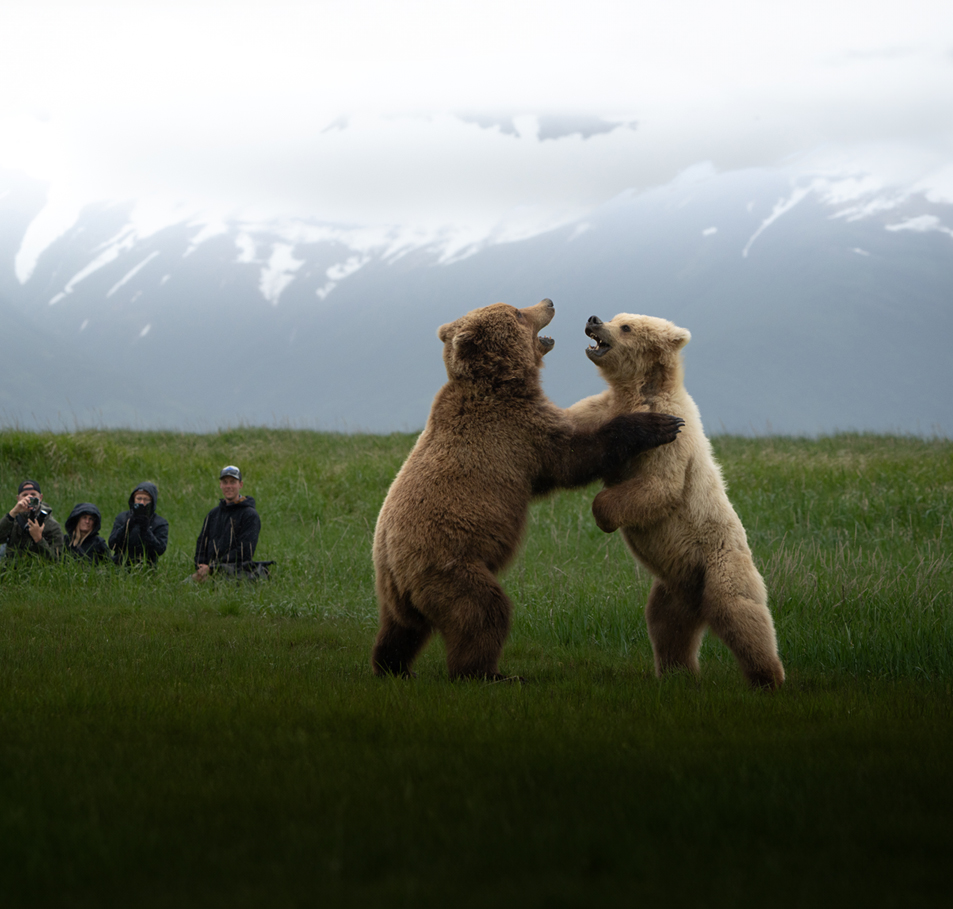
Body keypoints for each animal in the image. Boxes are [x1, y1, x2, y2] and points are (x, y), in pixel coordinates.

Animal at [371, 299, 684, 680]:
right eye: (518, 312)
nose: (548, 302)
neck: (503, 383)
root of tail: (392, 566)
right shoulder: (517, 432)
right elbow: (573, 456)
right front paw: (659, 424)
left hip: (395, 592)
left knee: (400, 630)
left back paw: (393, 667)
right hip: (447, 566)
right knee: (482, 612)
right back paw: (489, 673)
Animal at [566, 313, 785, 689]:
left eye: (626, 327)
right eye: (616, 317)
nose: (593, 319)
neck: (639, 393)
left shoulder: (673, 438)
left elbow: (660, 487)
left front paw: (604, 515)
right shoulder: (601, 410)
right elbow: (570, 428)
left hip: (720, 563)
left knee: (741, 612)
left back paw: (768, 677)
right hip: (675, 586)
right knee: (667, 626)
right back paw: (677, 672)